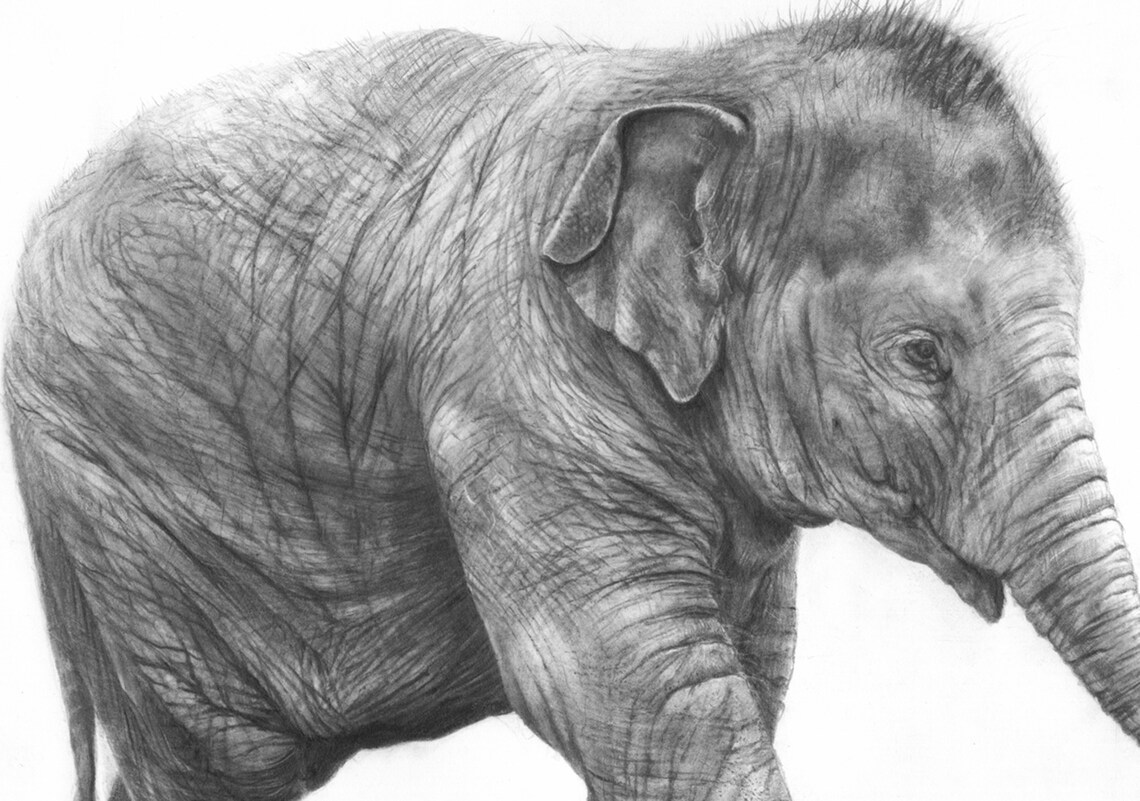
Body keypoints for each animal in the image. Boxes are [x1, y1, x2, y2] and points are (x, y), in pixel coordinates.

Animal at [5, 5, 1139, 800]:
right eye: (920, 355)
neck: (716, 76)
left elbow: (735, 681)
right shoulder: (517, 382)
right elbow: (650, 698)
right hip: (123, 504)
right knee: (218, 761)